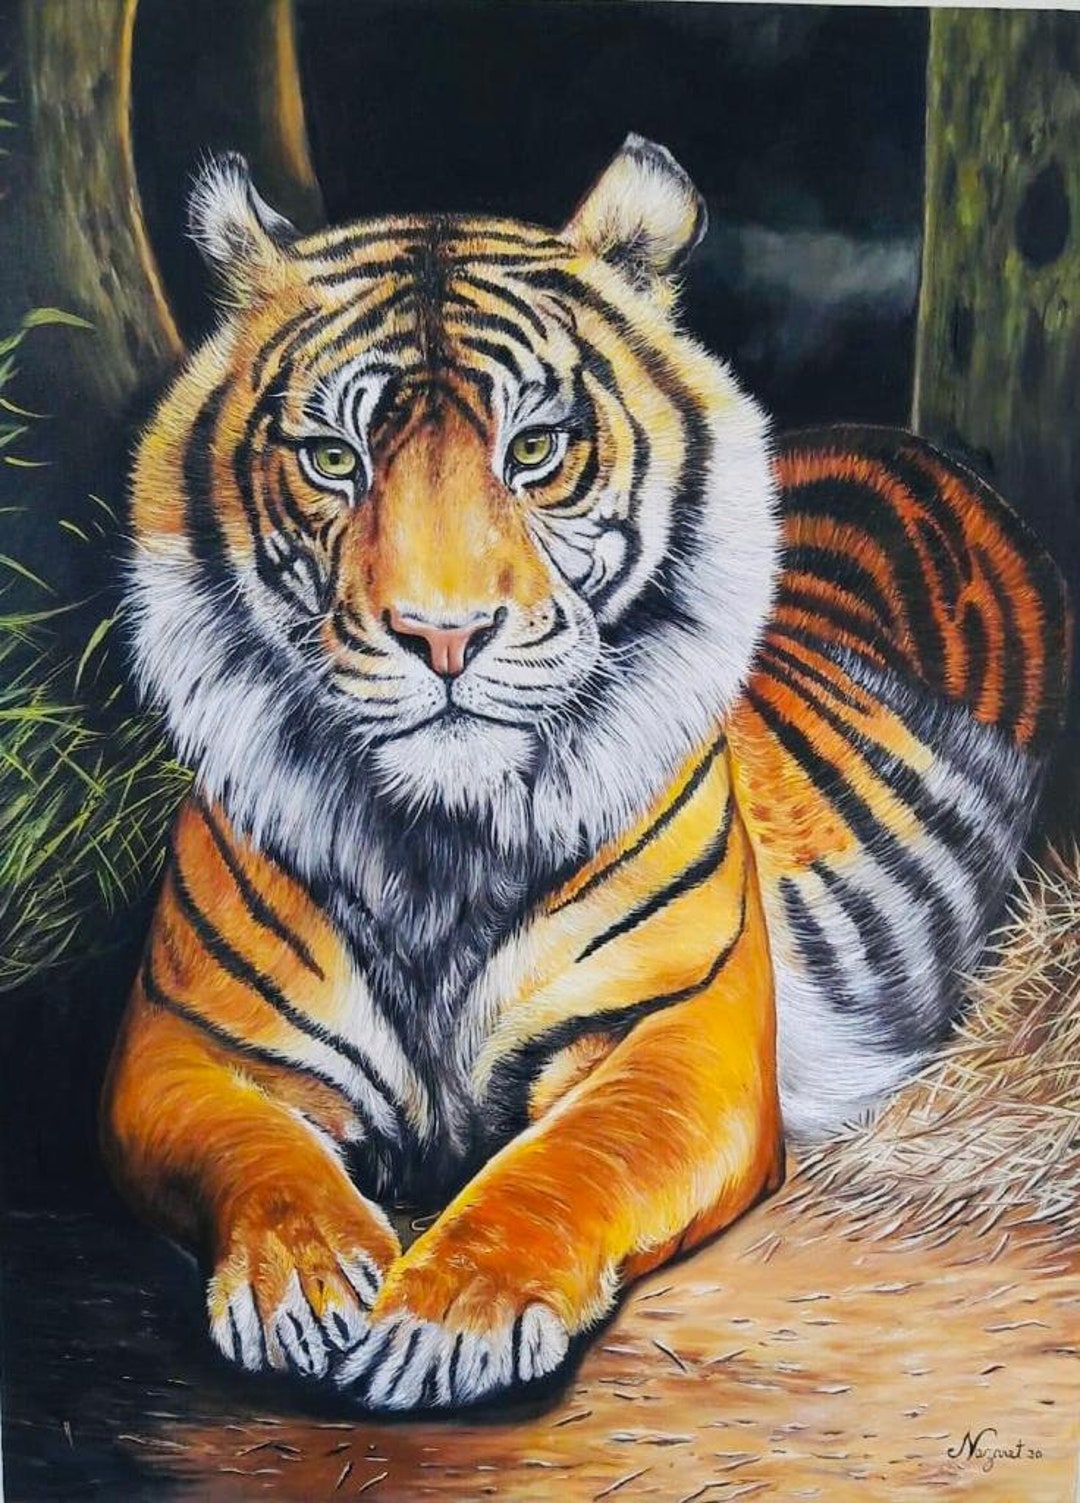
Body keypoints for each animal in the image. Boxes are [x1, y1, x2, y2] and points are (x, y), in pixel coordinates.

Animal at [102, 135, 1070, 1411]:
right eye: (332, 459)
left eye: (534, 450)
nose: (444, 636)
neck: (436, 846)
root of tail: (886, 434)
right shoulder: (187, 1046)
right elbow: (260, 1154)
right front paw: (299, 1282)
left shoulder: (675, 1034)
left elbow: (566, 1166)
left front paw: (446, 1319)